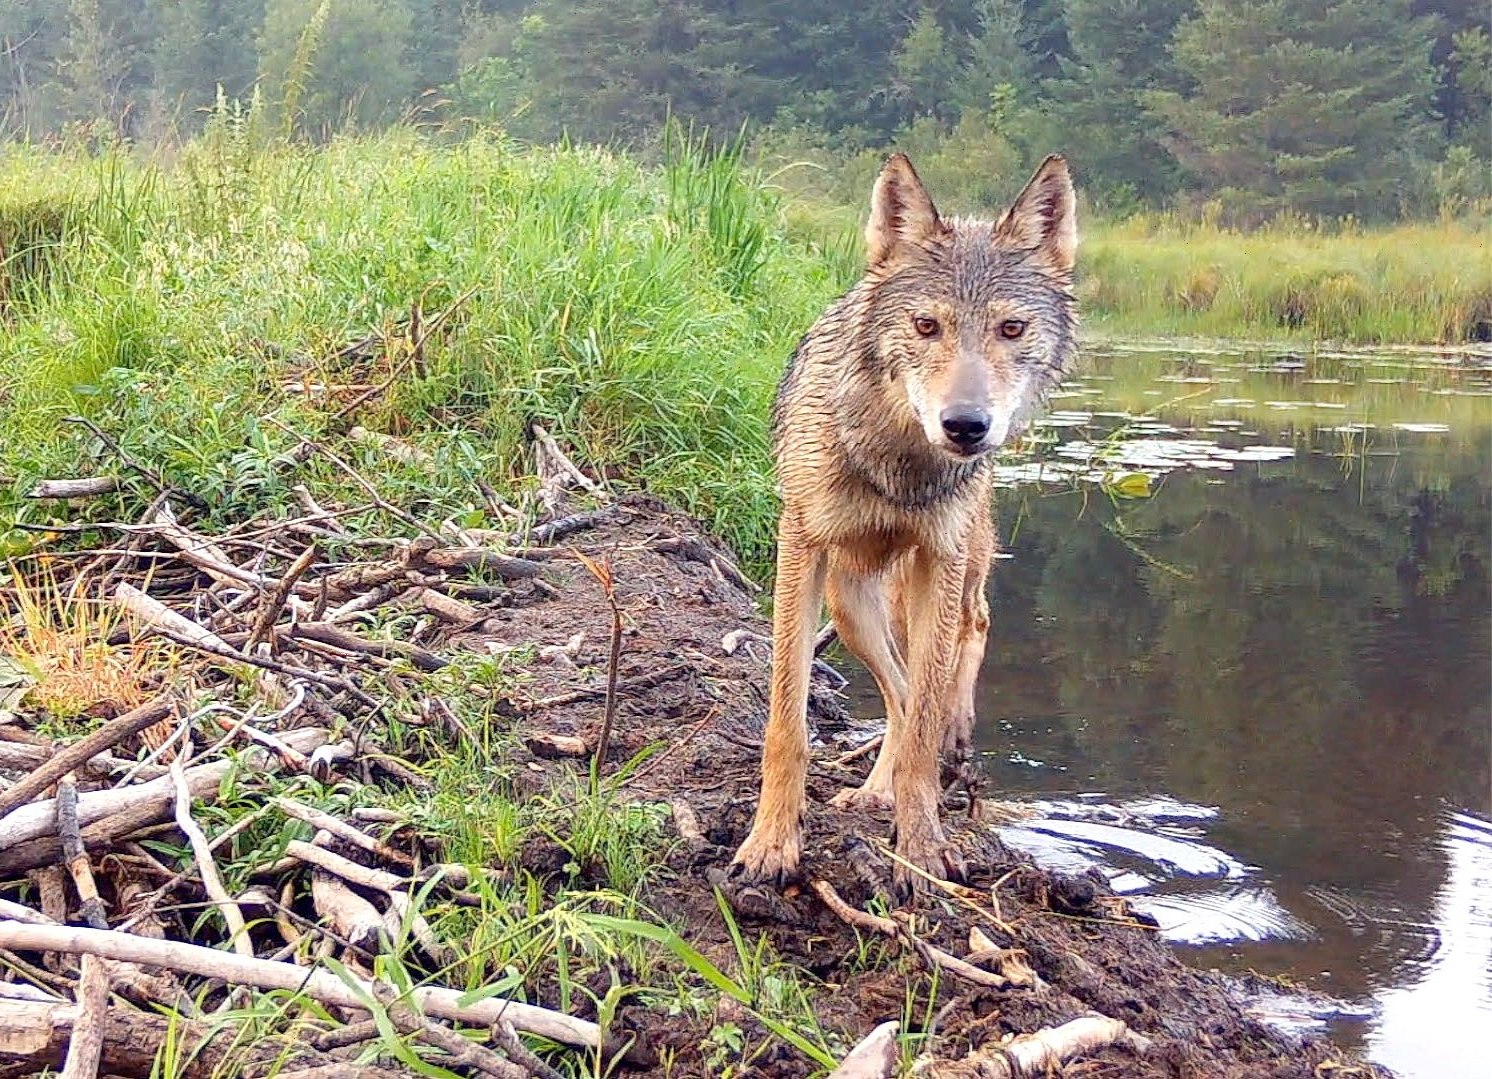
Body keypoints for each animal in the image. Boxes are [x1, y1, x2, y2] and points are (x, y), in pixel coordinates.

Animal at [731, 152, 1079, 893]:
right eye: (926, 326)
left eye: (1011, 329)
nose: (967, 425)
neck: (897, 462)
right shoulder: (800, 544)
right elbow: (788, 722)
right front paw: (771, 842)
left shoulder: (939, 557)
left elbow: (922, 721)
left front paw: (920, 846)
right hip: (853, 603)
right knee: (896, 691)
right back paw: (874, 788)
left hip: (941, 576)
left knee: (960, 646)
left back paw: (951, 730)